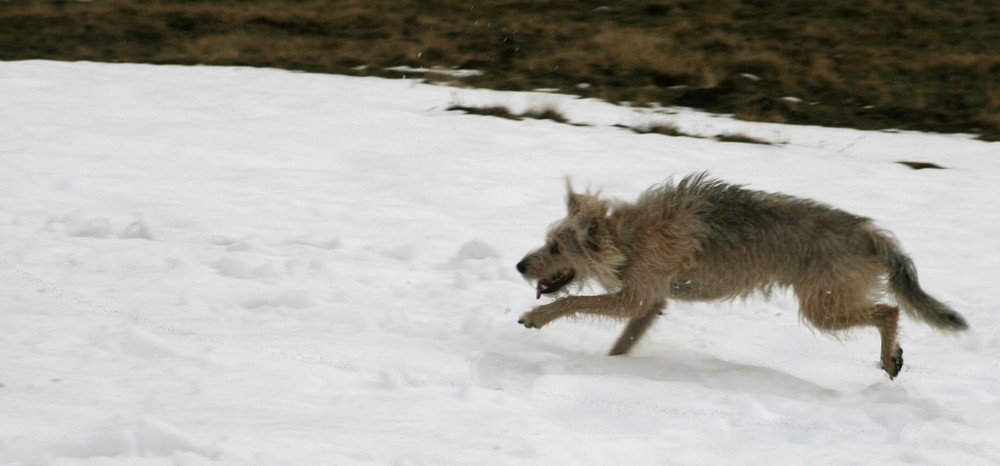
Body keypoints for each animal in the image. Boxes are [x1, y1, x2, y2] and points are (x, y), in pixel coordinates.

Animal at [515, 173, 967, 379]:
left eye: (555, 247)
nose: (520, 265)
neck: (625, 238)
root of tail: (869, 232)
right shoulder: (650, 303)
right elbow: (623, 341)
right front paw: (612, 365)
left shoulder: (634, 298)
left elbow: (573, 300)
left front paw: (535, 318)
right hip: (827, 304)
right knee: (889, 310)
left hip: (822, 308)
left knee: (890, 311)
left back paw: (890, 357)